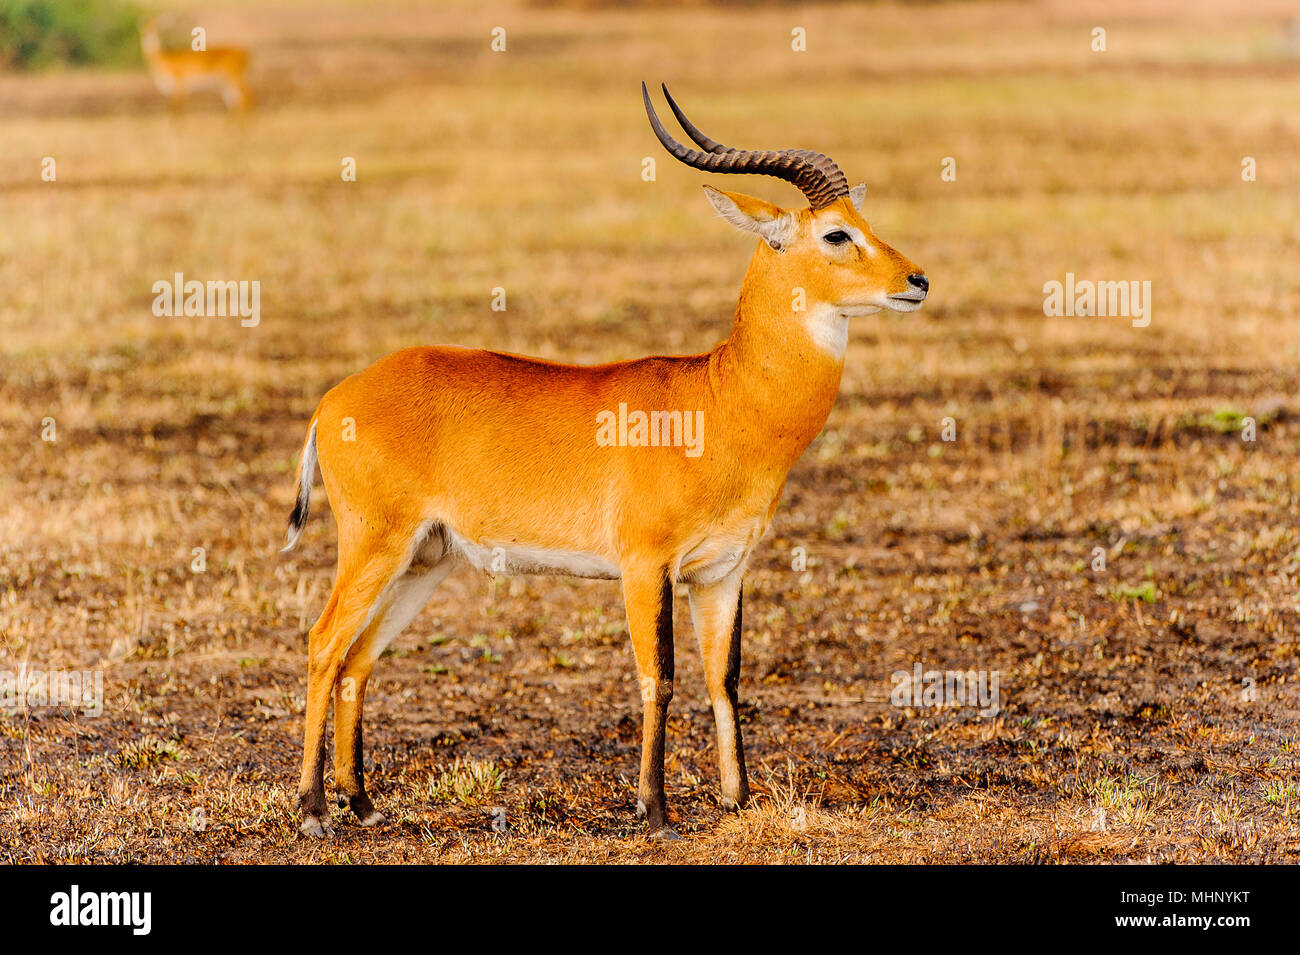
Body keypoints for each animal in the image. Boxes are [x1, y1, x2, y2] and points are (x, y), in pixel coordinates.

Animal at [282, 84, 929, 839]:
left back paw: (361, 801)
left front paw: (736, 798)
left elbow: (725, 676)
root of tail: (335, 398)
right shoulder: (646, 564)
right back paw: (312, 810)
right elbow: (660, 676)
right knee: (323, 643)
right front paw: (656, 810)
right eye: (836, 234)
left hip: (424, 560)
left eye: (863, 219)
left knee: (357, 659)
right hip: (375, 544)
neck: (718, 398)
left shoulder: (723, 571)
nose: (917, 280)